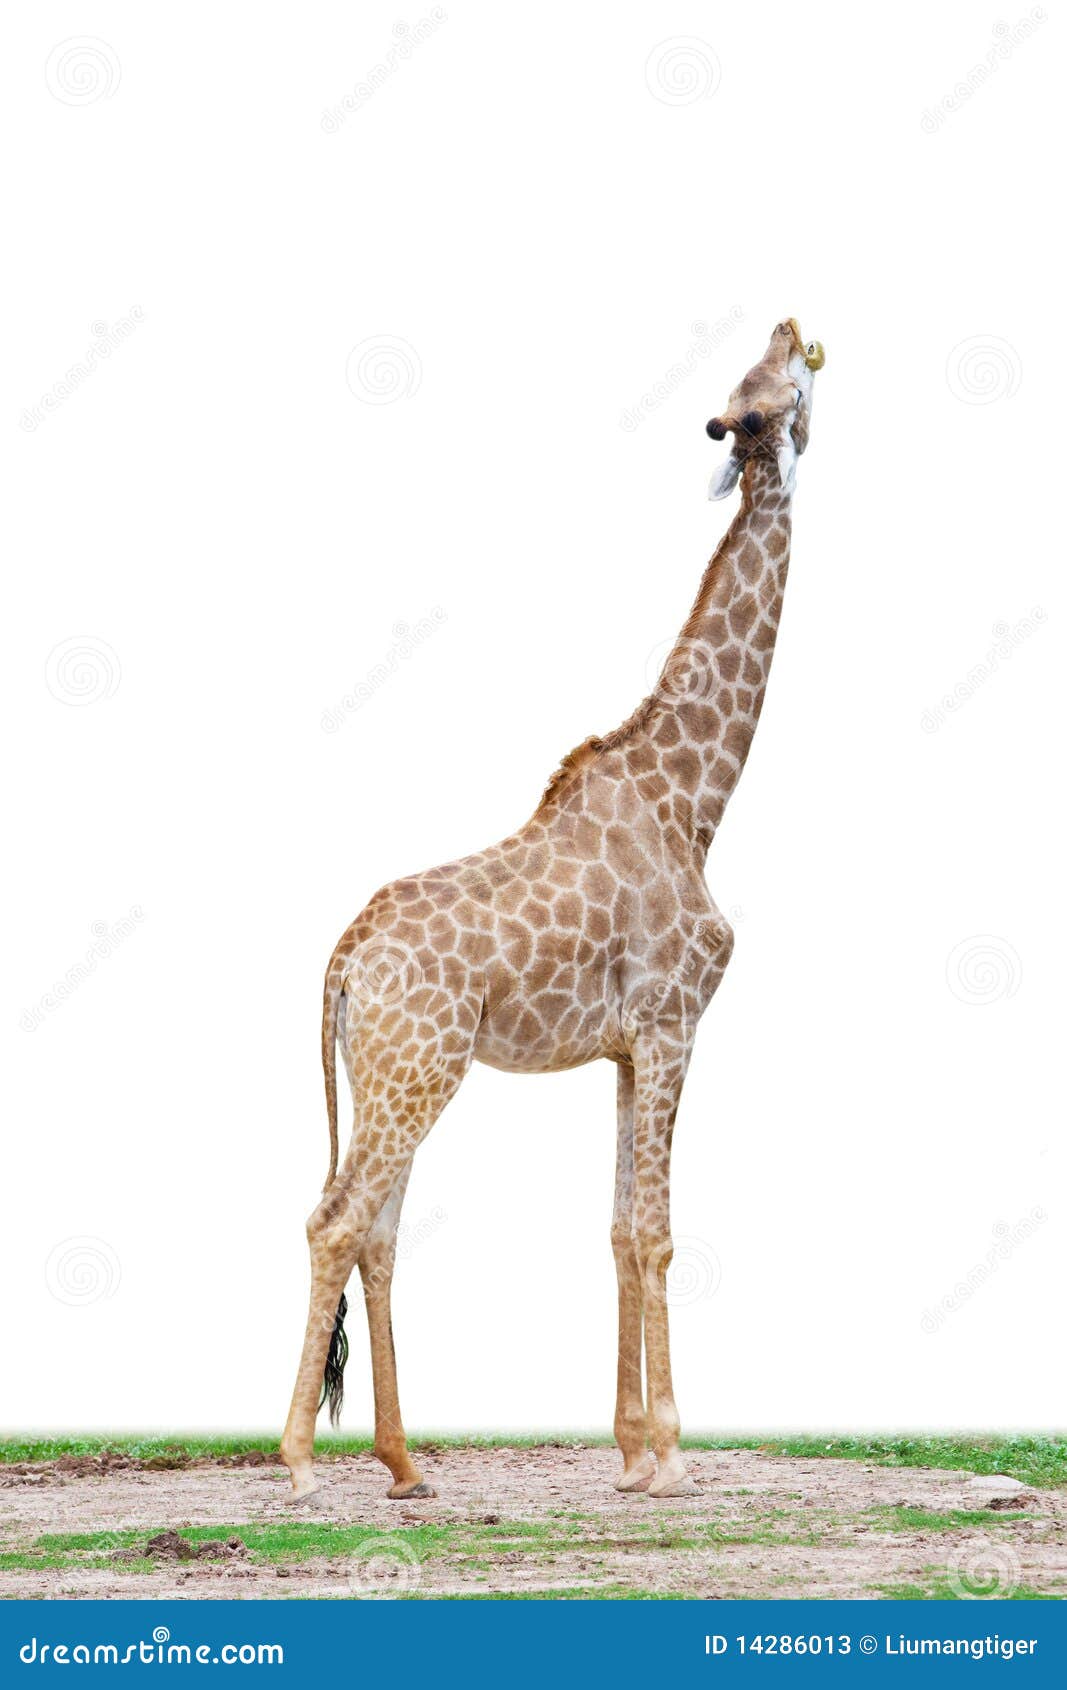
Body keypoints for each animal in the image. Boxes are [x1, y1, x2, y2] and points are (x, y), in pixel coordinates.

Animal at [280, 318, 824, 1502]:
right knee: (333, 1219)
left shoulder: (625, 1047)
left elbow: (618, 1230)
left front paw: (625, 1452)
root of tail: (341, 959)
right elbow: (657, 1233)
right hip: (418, 1068)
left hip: (390, 1070)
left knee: (374, 1230)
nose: (791, 325)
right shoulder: (671, 1025)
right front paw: (670, 1456)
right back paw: (298, 1464)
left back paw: (402, 1464)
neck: (694, 801)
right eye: (771, 388)